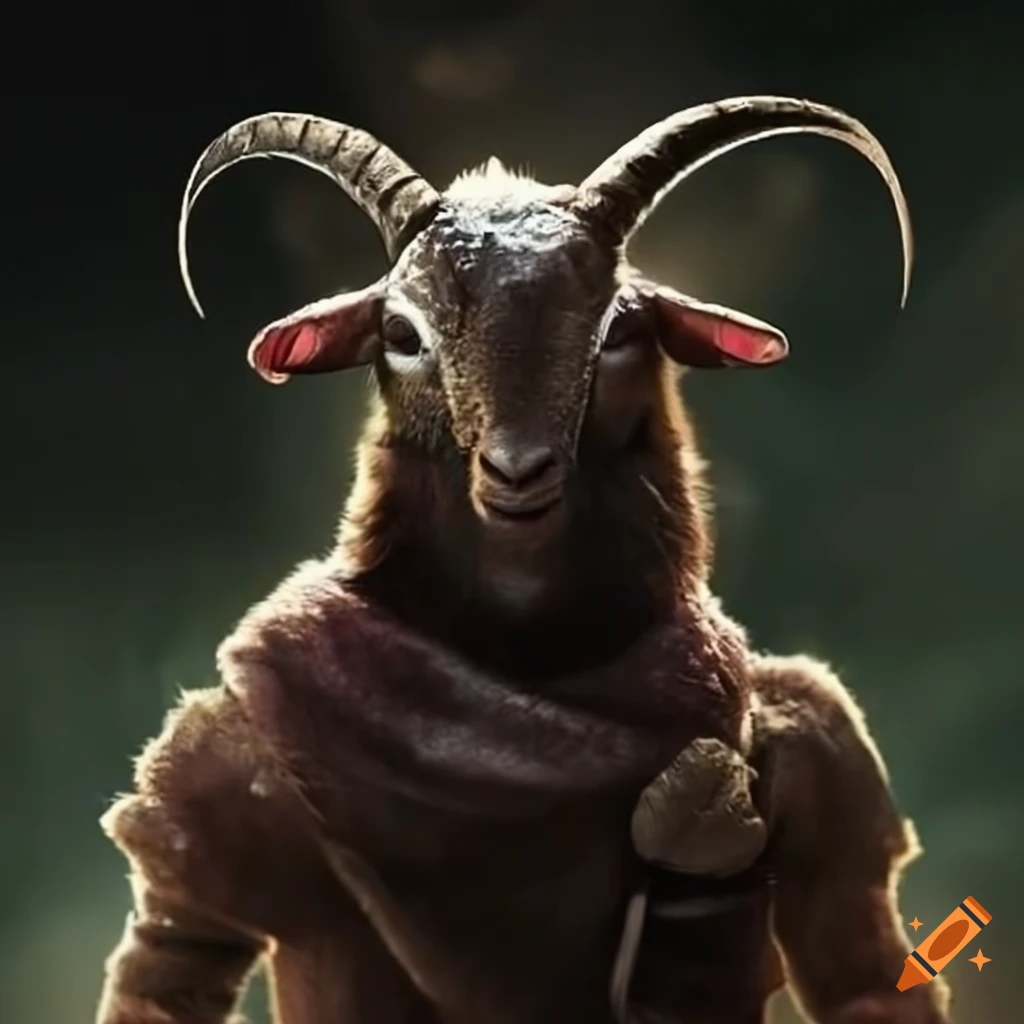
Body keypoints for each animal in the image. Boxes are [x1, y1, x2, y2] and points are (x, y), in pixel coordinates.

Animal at [95, 97, 948, 1024]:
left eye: (620, 329)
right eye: (401, 332)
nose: (516, 469)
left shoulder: (825, 752)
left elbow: (862, 978)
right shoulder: (206, 779)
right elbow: (171, 960)